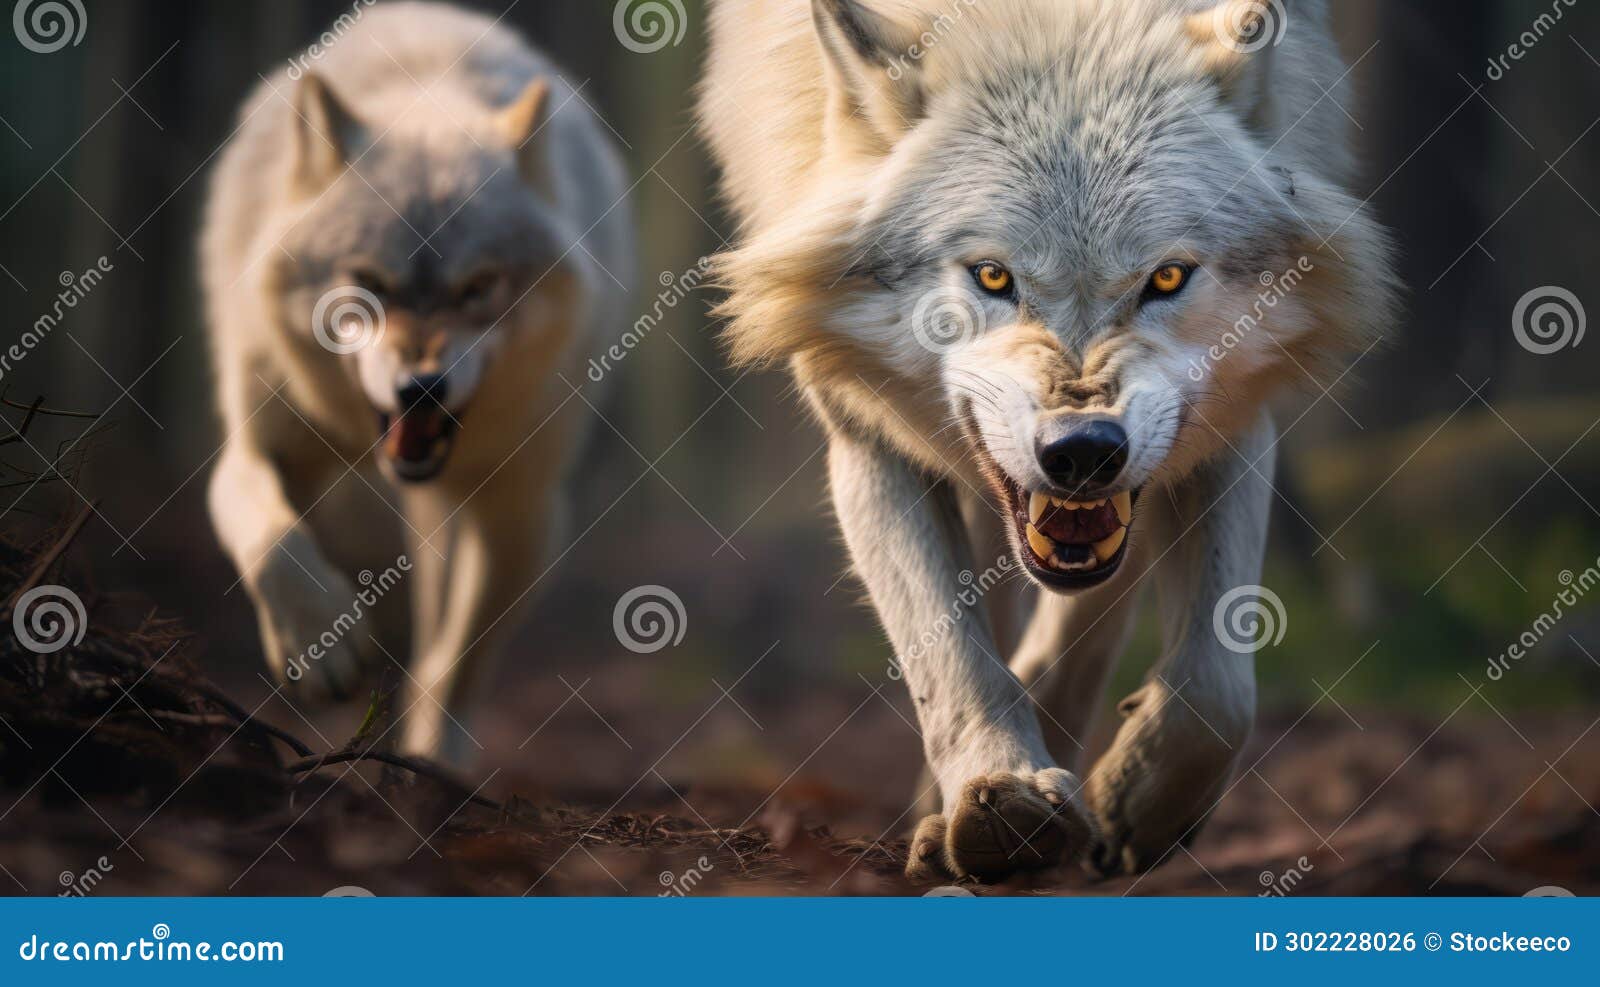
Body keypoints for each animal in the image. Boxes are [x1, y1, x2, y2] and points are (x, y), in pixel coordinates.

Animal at [202, 2, 633, 761]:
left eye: (479, 288)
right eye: (369, 284)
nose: (421, 388)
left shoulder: (521, 509)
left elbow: (459, 661)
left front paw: (431, 763)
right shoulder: (261, 448)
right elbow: (272, 536)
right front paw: (318, 646)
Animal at [700, 0, 1397, 881]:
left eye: (1167, 278)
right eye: (993, 276)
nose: (1083, 450)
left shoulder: (1231, 416)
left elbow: (1216, 683)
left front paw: (1134, 798)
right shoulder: (859, 430)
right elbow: (950, 653)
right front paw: (1002, 791)